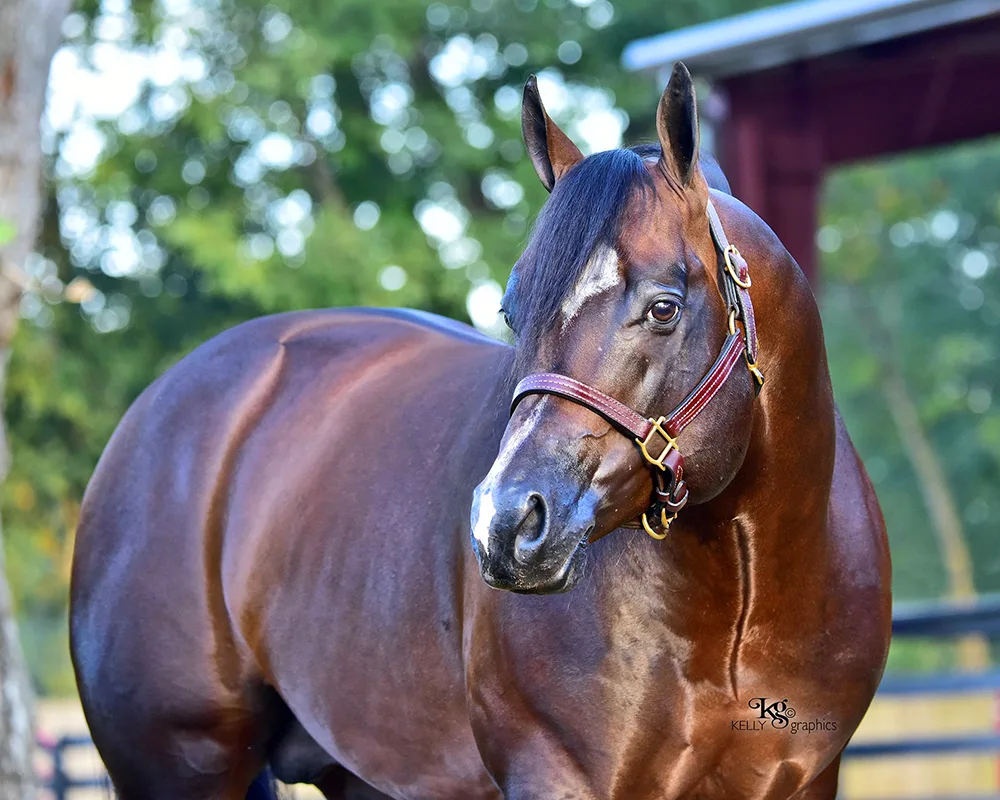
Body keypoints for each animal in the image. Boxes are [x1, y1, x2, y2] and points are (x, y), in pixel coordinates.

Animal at [70, 62, 891, 799]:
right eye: (510, 309)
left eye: (664, 306)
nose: (505, 524)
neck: (745, 605)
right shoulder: (560, 778)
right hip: (180, 769)